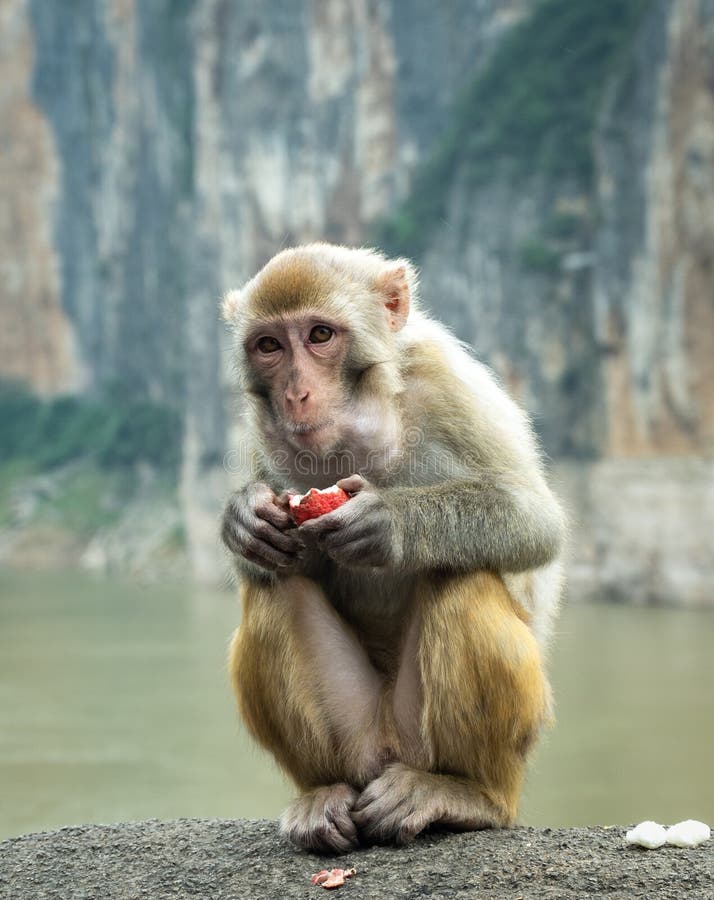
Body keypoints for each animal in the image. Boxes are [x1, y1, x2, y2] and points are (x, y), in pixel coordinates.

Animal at [220, 243, 565, 852]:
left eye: (320, 335)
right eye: (269, 345)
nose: (296, 394)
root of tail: (385, 749)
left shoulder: (448, 384)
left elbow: (534, 520)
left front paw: (389, 524)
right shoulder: (263, 434)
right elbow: (269, 548)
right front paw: (244, 517)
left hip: (442, 738)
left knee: (462, 575)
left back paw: (466, 794)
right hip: (355, 737)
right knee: (274, 581)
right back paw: (322, 796)